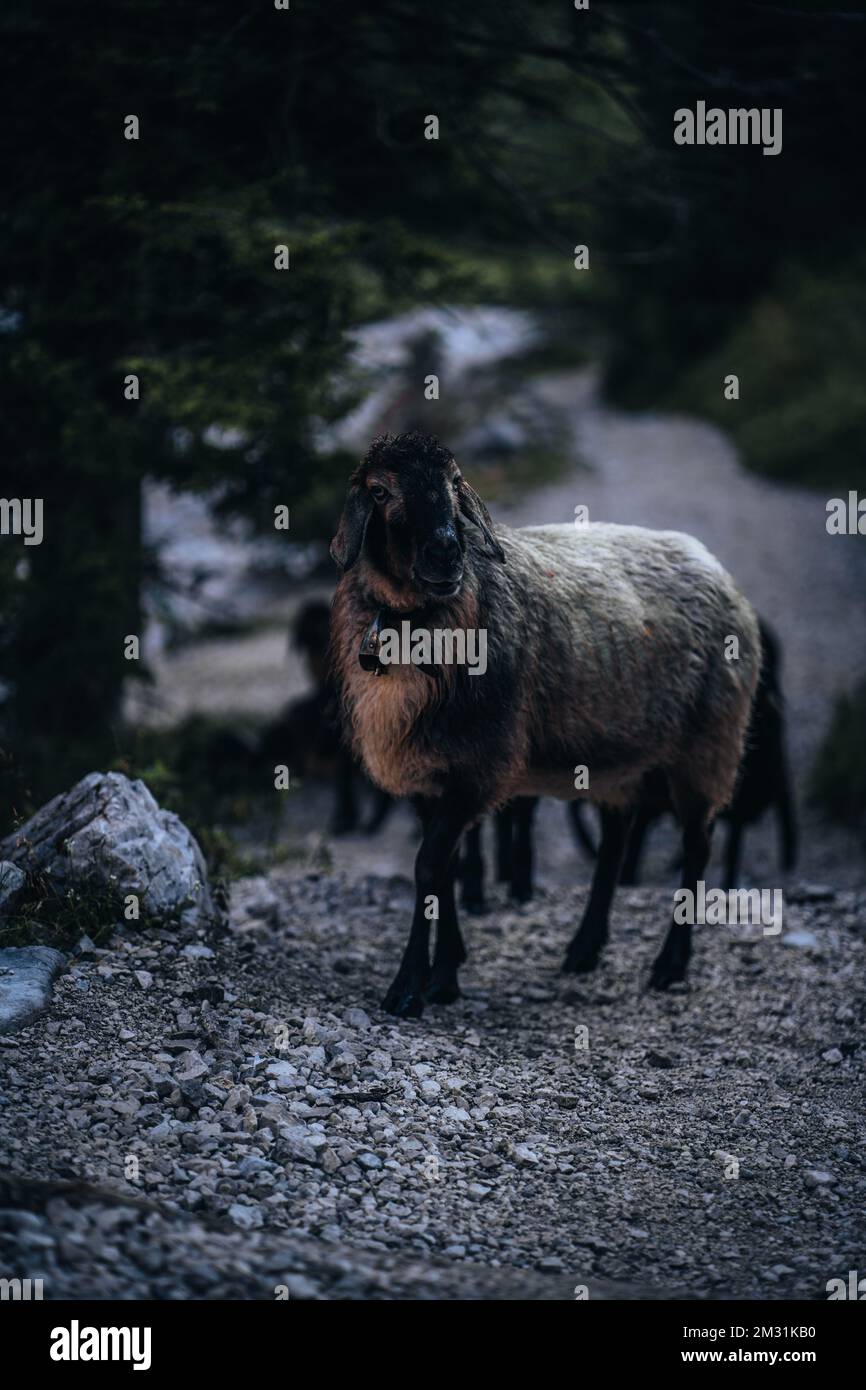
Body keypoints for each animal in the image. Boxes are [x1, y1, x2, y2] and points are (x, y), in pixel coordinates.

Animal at [329, 430, 761, 1017]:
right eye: (379, 491)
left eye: (454, 484)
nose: (446, 550)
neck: (419, 622)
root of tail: (711, 561)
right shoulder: (426, 774)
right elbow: (444, 869)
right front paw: (446, 974)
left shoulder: (478, 768)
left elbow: (428, 868)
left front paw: (410, 986)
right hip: (620, 755)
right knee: (616, 840)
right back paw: (585, 947)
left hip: (708, 742)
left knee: (698, 845)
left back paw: (669, 964)